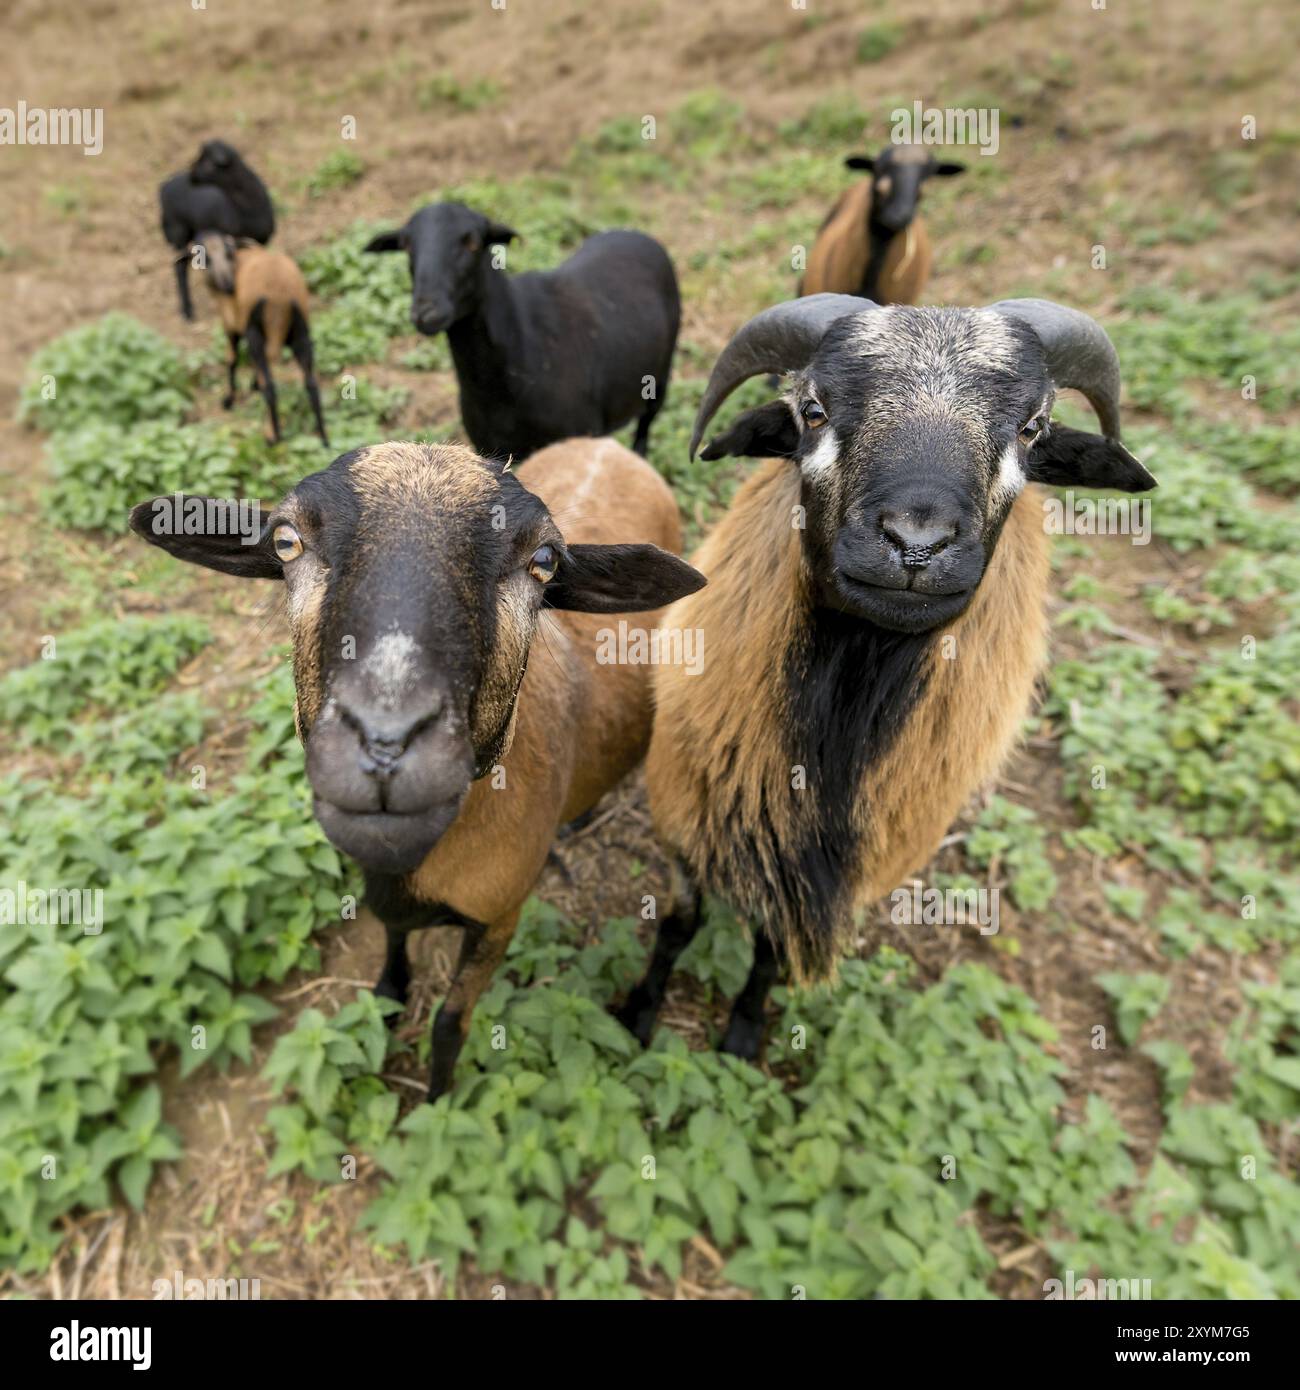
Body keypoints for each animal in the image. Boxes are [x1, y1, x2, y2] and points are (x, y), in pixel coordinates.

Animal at [129, 437, 705, 1100]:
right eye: (285, 541)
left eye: (544, 561)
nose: (385, 743)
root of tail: (611, 446)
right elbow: (392, 932)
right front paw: (389, 993)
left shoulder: (499, 920)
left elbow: (450, 1026)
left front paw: (439, 1103)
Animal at [159, 139, 275, 321]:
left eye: (207, 163)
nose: (191, 175)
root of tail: (164, 186)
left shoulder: (260, 242)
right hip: (178, 231)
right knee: (180, 265)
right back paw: (187, 310)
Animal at [197, 232, 327, 447]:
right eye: (207, 257)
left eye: (226, 253)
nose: (227, 285)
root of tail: (280, 296)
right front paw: (252, 384)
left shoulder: (231, 323)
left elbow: (232, 358)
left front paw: (229, 400)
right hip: (300, 331)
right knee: (311, 384)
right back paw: (324, 439)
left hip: (255, 331)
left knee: (271, 387)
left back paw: (274, 436)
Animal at [364, 202, 680, 461]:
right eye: (406, 244)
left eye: (473, 242)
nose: (426, 311)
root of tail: (635, 233)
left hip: (659, 378)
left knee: (644, 429)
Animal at [616, 292, 1156, 1057]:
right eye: (812, 409)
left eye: (1032, 429)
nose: (917, 544)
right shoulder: (688, 816)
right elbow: (677, 924)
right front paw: (636, 1015)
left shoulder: (842, 870)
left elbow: (771, 952)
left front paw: (744, 1035)